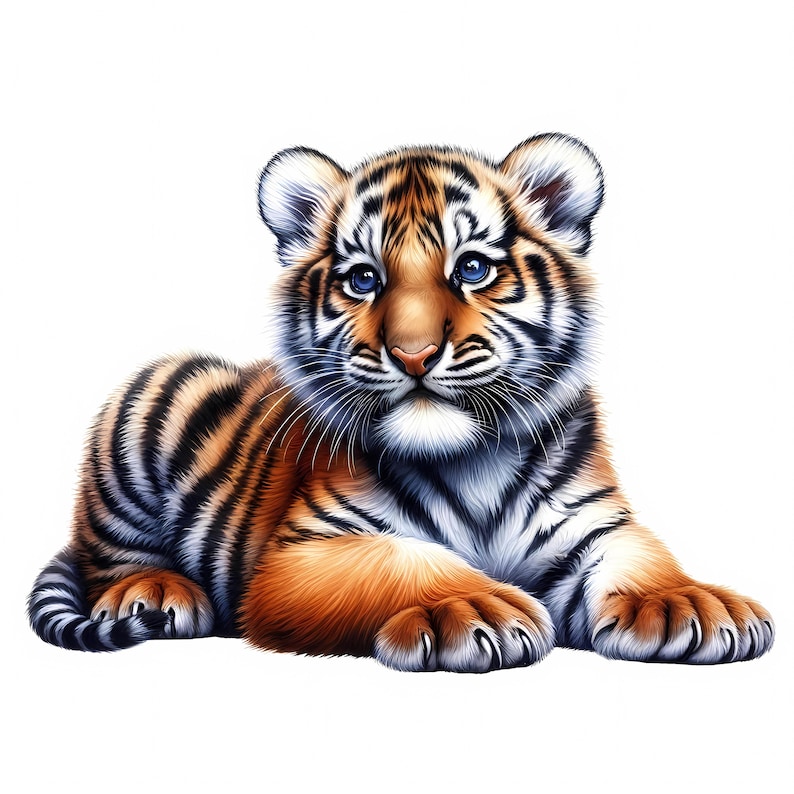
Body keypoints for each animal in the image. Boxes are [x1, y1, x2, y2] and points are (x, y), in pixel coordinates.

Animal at [28, 133, 774, 671]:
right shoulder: (301, 554)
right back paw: (154, 594)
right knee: (108, 555)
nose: (414, 353)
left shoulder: (595, 524)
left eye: (472, 268)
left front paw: (687, 605)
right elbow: (400, 560)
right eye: (364, 279)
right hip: (148, 401)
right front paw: (472, 609)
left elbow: (642, 556)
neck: (473, 464)